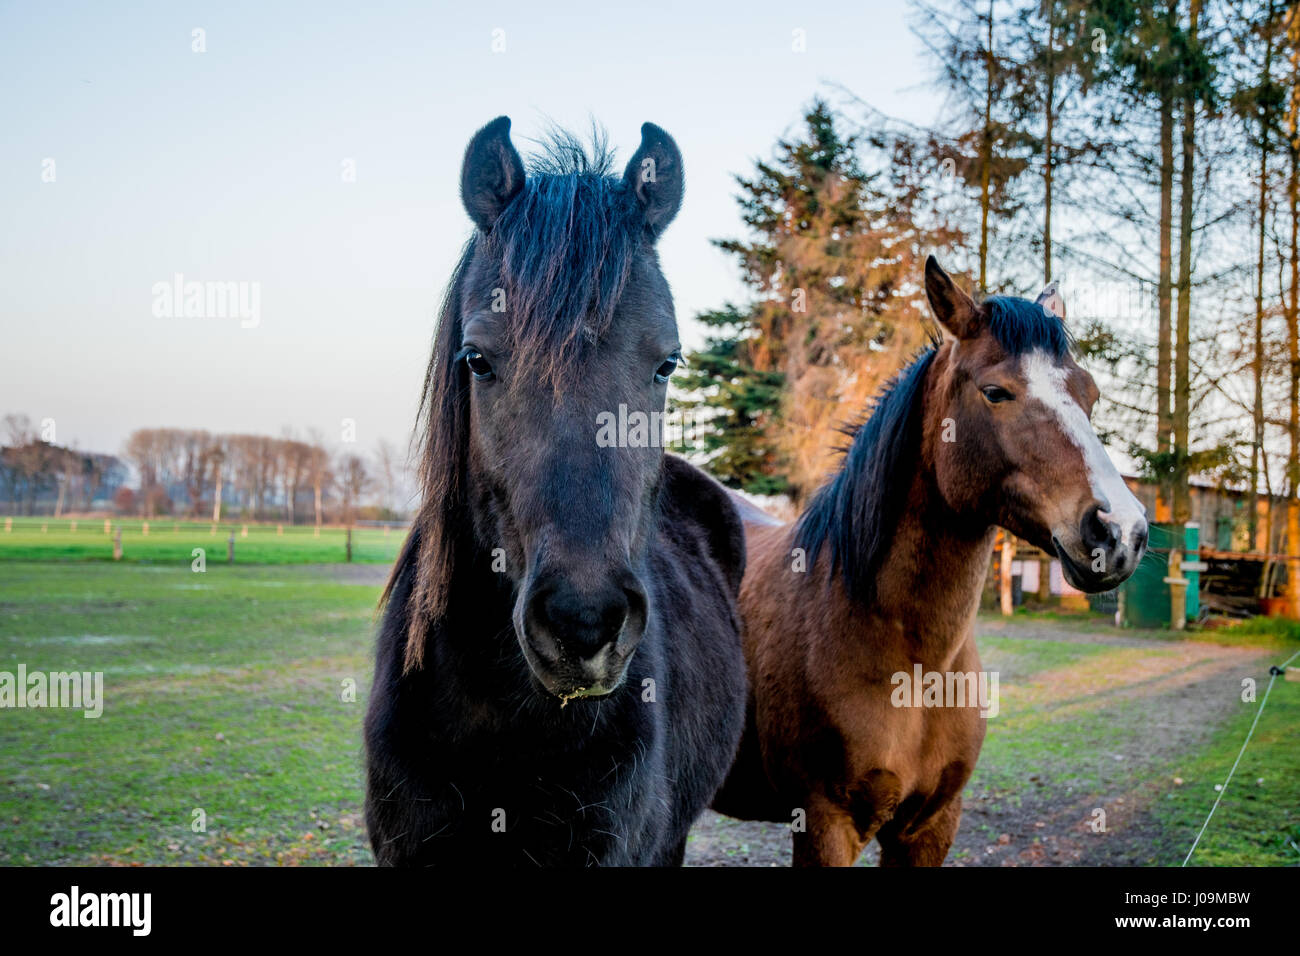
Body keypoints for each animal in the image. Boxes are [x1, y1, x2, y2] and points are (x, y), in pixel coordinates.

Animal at [711, 256, 1149, 866]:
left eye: (1091, 394)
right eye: (996, 392)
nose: (1121, 531)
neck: (915, 665)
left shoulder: (931, 826)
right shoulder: (823, 826)